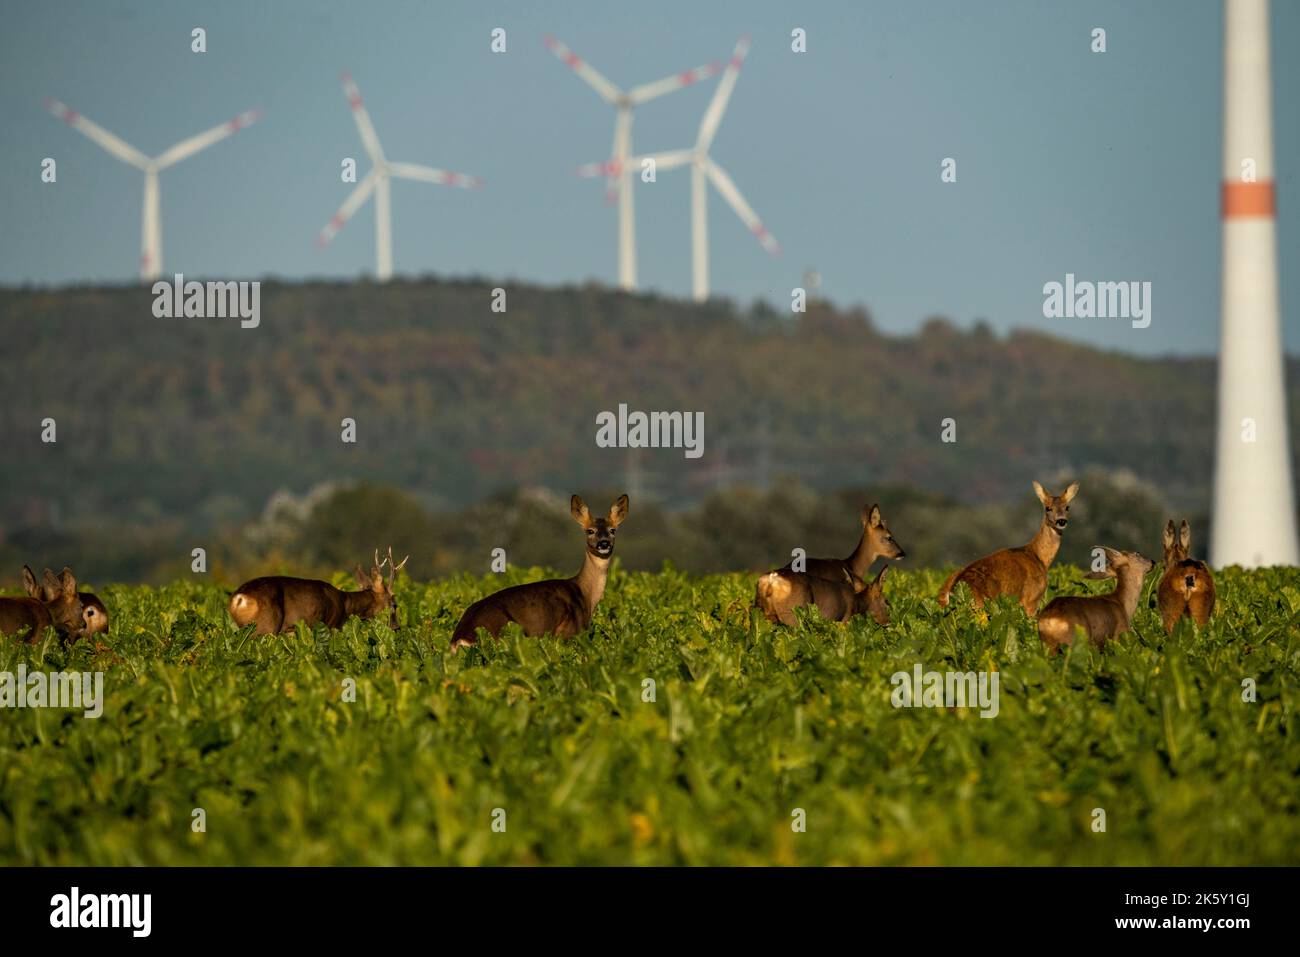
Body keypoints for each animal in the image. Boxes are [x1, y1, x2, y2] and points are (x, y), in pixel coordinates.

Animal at [229, 547, 408, 636]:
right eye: (394, 604)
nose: (397, 627)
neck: (345, 603)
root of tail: (239, 598)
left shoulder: (292, 630)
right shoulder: (332, 625)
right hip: (264, 627)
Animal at [451, 494, 628, 651]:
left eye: (613, 530)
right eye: (590, 531)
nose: (603, 543)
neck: (585, 593)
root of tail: (459, 637)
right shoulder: (568, 632)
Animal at [756, 564, 891, 628]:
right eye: (886, 601)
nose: (888, 622)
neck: (857, 602)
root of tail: (770, 581)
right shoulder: (844, 620)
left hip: (762, 611)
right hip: (792, 614)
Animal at [937, 480, 1079, 617]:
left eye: (1067, 507)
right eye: (1048, 508)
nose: (1061, 521)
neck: (1039, 557)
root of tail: (950, 592)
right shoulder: (1031, 599)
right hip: (979, 605)